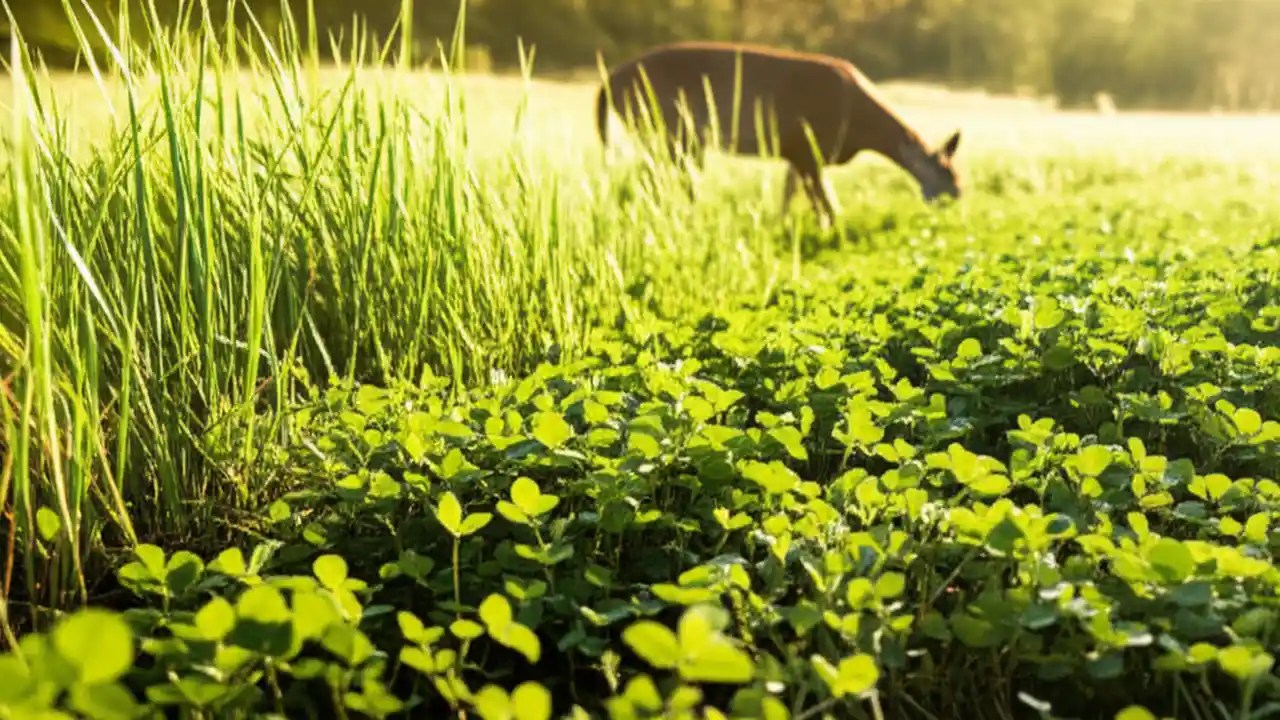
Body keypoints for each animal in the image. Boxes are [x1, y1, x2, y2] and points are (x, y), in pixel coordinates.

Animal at [595, 41, 963, 225]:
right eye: (947, 174)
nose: (959, 195)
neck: (860, 124)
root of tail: (609, 81)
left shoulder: (795, 151)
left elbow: (790, 194)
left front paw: (782, 226)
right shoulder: (804, 147)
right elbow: (825, 204)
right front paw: (834, 232)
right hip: (672, 129)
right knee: (659, 178)